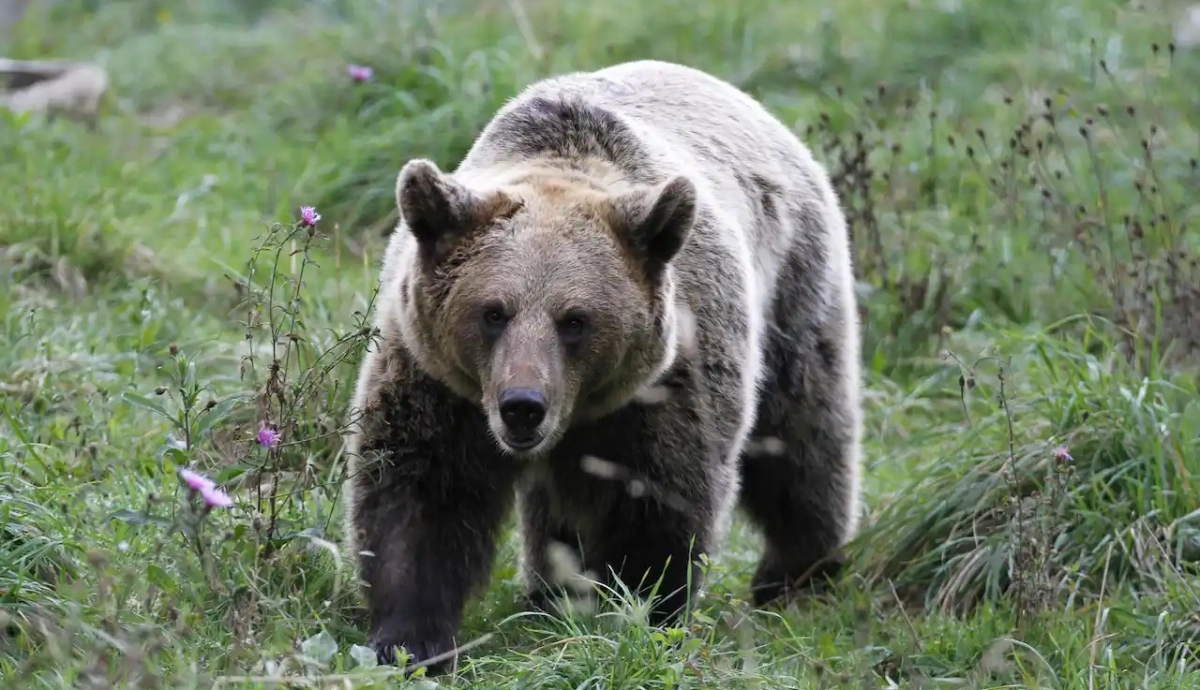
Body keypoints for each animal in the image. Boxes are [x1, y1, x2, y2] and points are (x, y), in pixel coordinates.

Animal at [341, 59, 863, 673]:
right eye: (493, 312)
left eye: (575, 320)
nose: (523, 407)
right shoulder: (438, 379)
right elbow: (421, 492)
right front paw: (409, 641)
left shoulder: (667, 383)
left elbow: (660, 501)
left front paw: (636, 615)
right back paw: (548, 592)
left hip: (794, 291)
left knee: (802, 438)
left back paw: (798, 573)